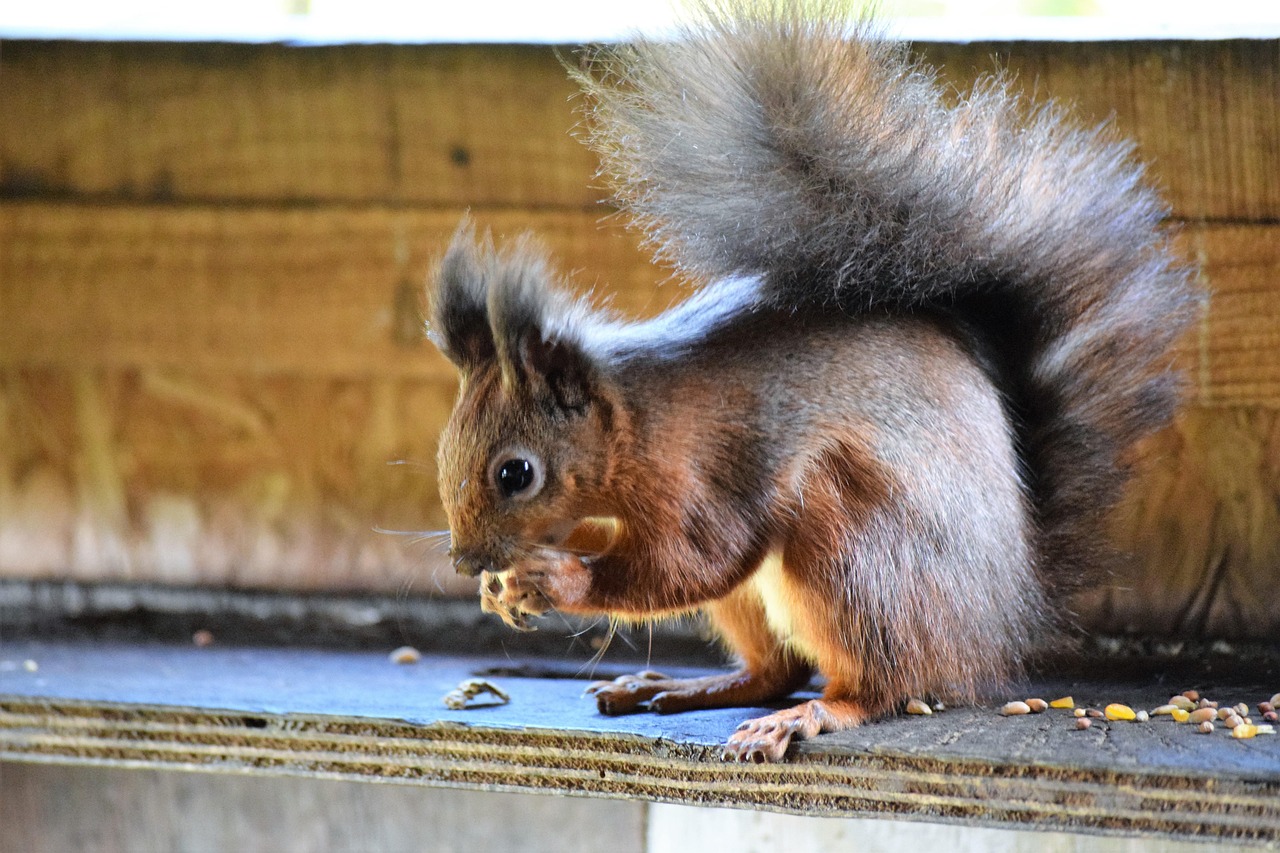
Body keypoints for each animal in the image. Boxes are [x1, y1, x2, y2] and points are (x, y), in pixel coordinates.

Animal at [425, 1, 1200, 762]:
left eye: (516, 473)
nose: (466, 561)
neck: (635, 420)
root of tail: (1005, 615)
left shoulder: (700, 473)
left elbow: (697, 561)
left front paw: (558, 578)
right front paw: (504, 586)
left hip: (855, 550)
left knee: (882, 684)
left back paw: (812, 714)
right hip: (778, 596)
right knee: (775, 670)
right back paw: (682, 685)